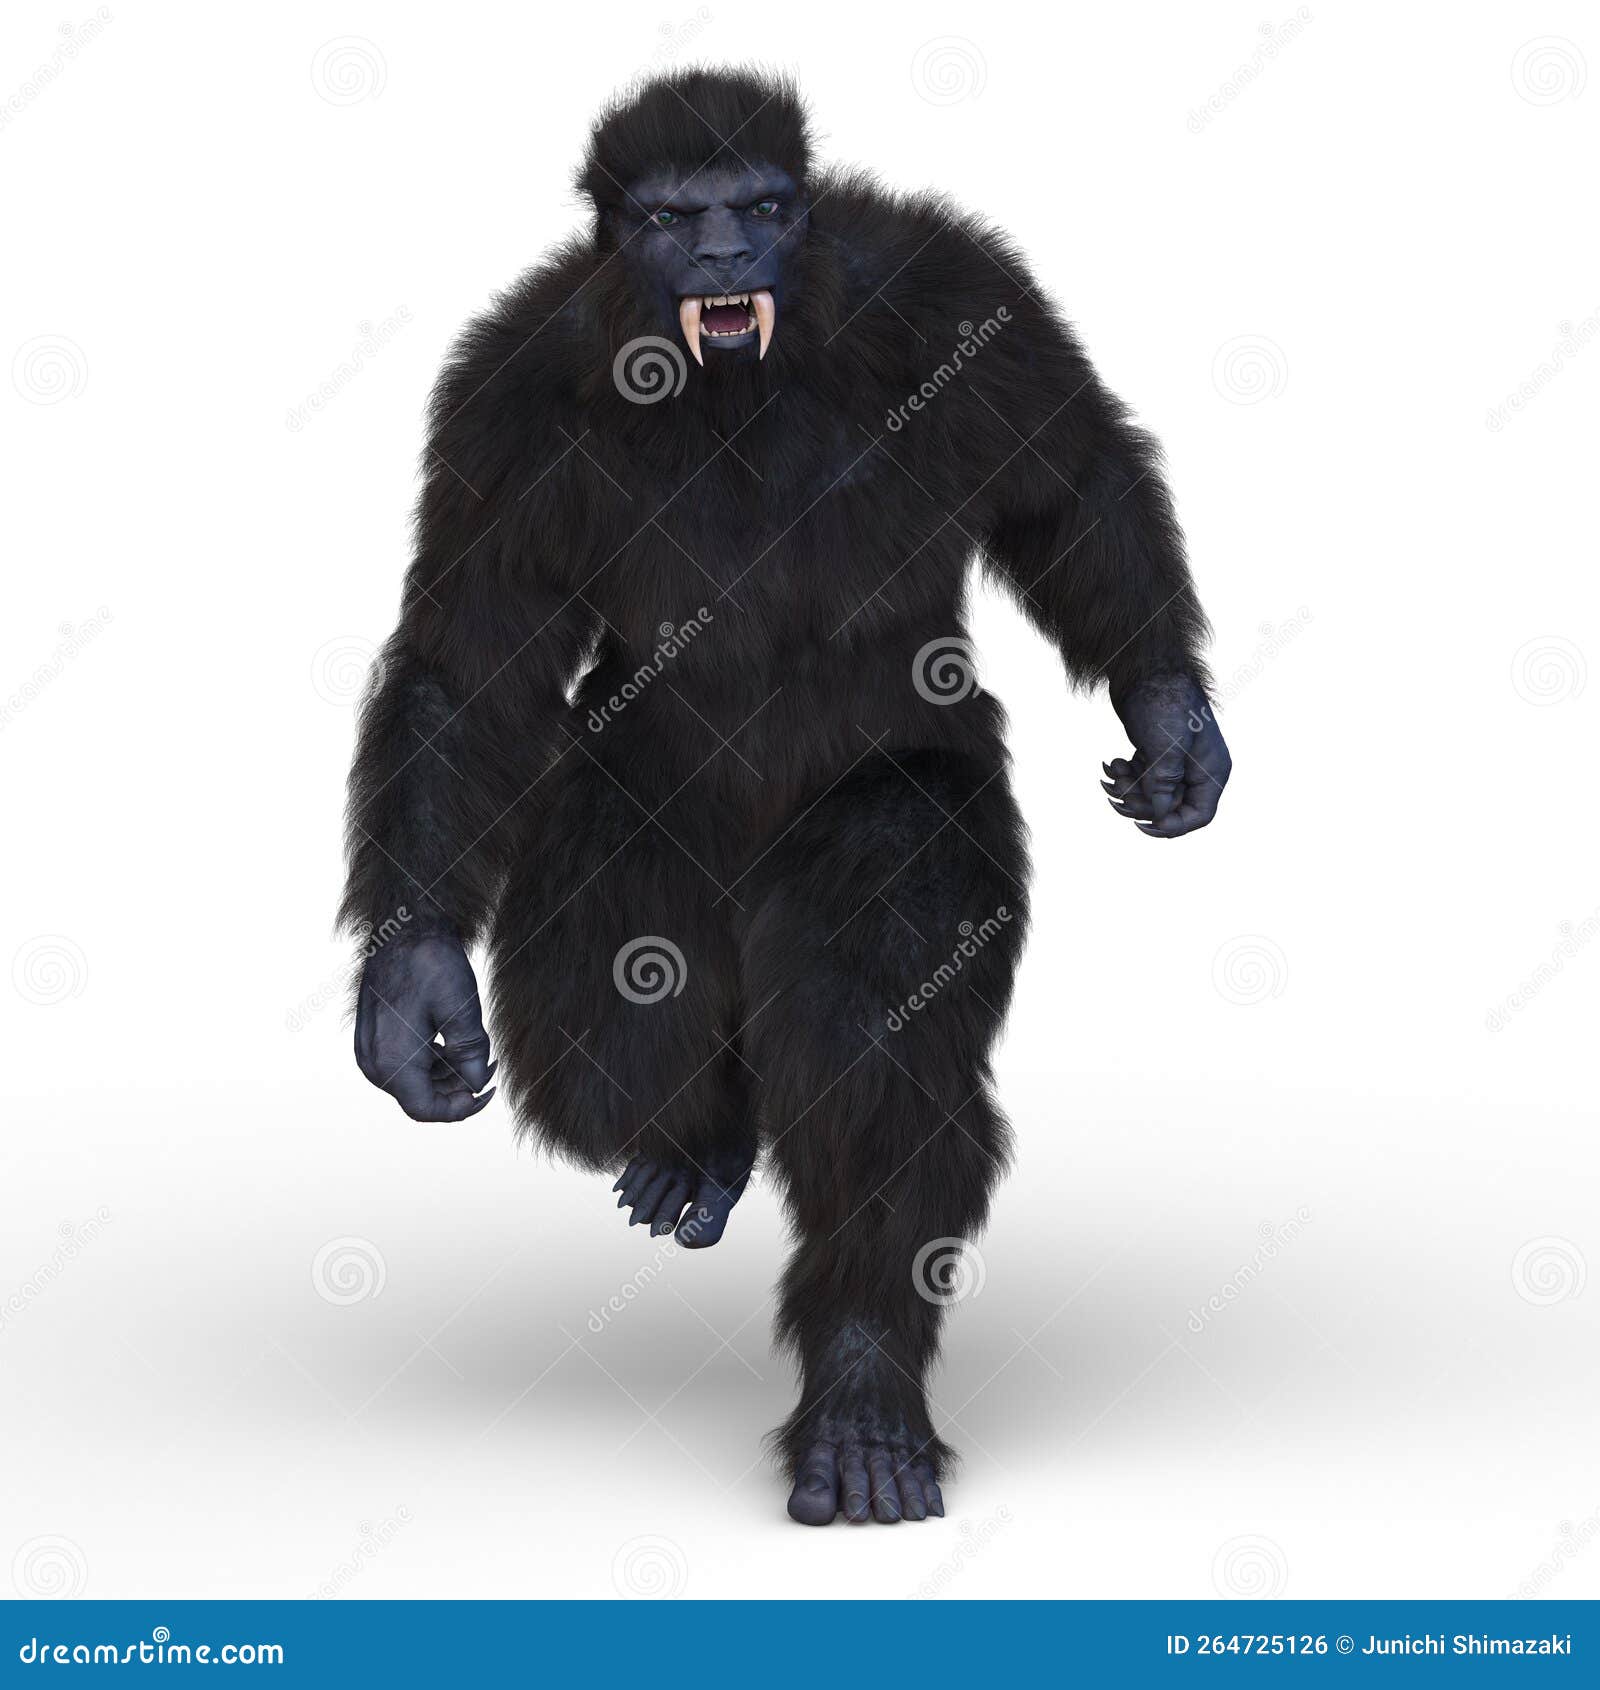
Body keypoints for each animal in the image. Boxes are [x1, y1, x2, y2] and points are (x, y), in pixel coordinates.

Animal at [341, 67, 1231, 1526]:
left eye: (758, 205)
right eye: (667, 217)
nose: (718, 255)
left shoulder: (960, 300)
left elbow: (1062, 474)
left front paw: (1167, 715)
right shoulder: (497, 410)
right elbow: (472, 664)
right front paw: (412, 987)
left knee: (870, 1004)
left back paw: (863, 1398)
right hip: (637, 820)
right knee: (607, 999)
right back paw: (696, 1150)